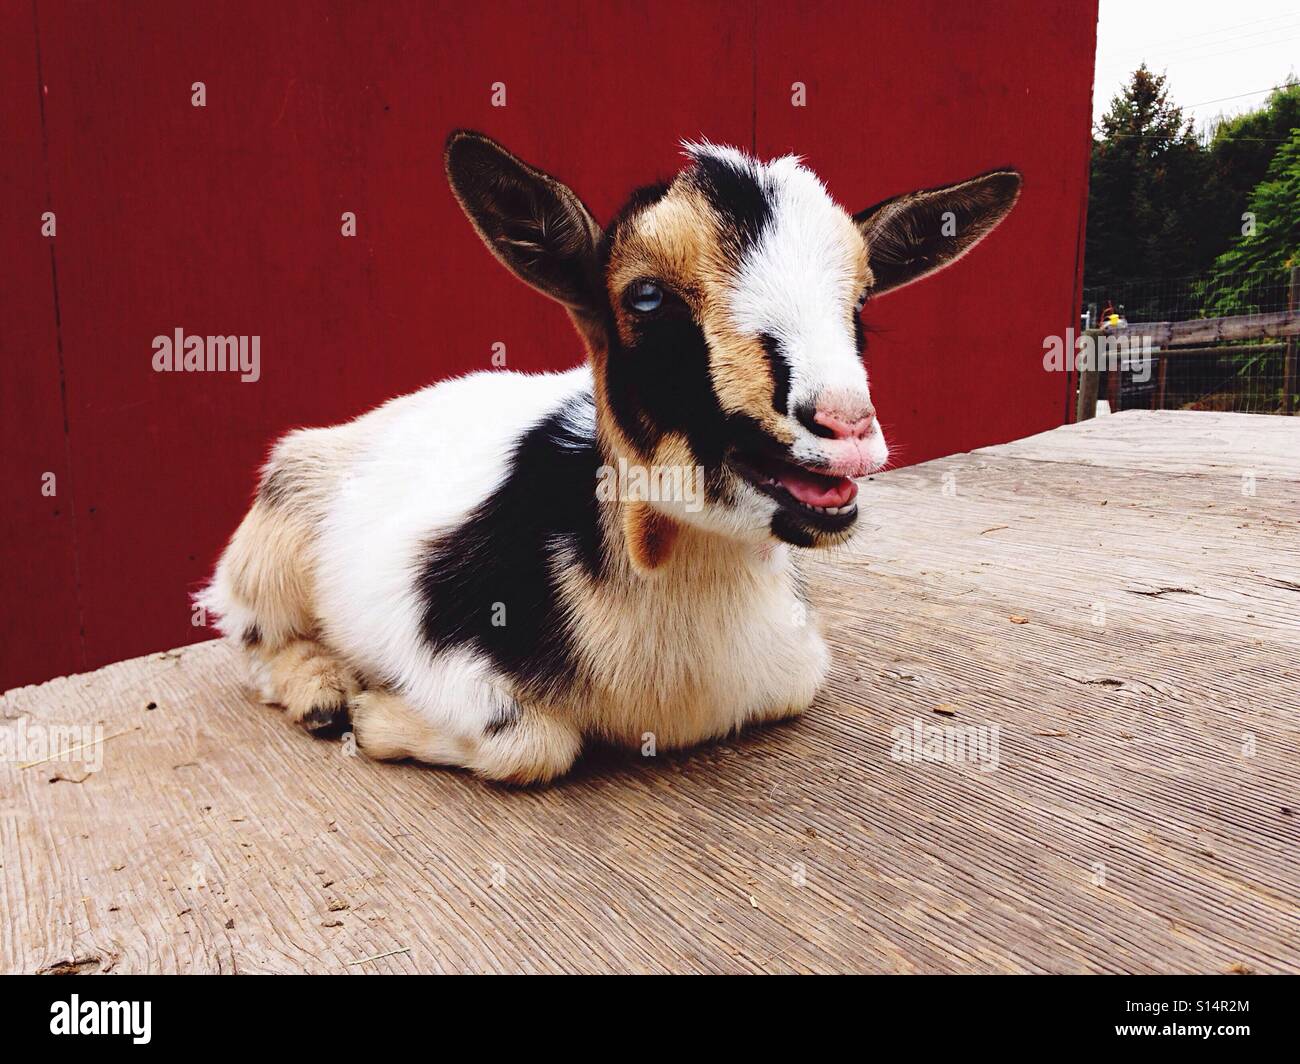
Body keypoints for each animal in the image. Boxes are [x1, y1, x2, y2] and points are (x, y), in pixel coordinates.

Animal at [199, 131, 1020, 784]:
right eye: (647, 297)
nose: (846, 425)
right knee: (253, 638)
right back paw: (321, 693)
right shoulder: (446, 655)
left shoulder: (796, 665)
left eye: (861, 305)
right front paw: (373, 719)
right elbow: (533, 745)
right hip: (273, 537)